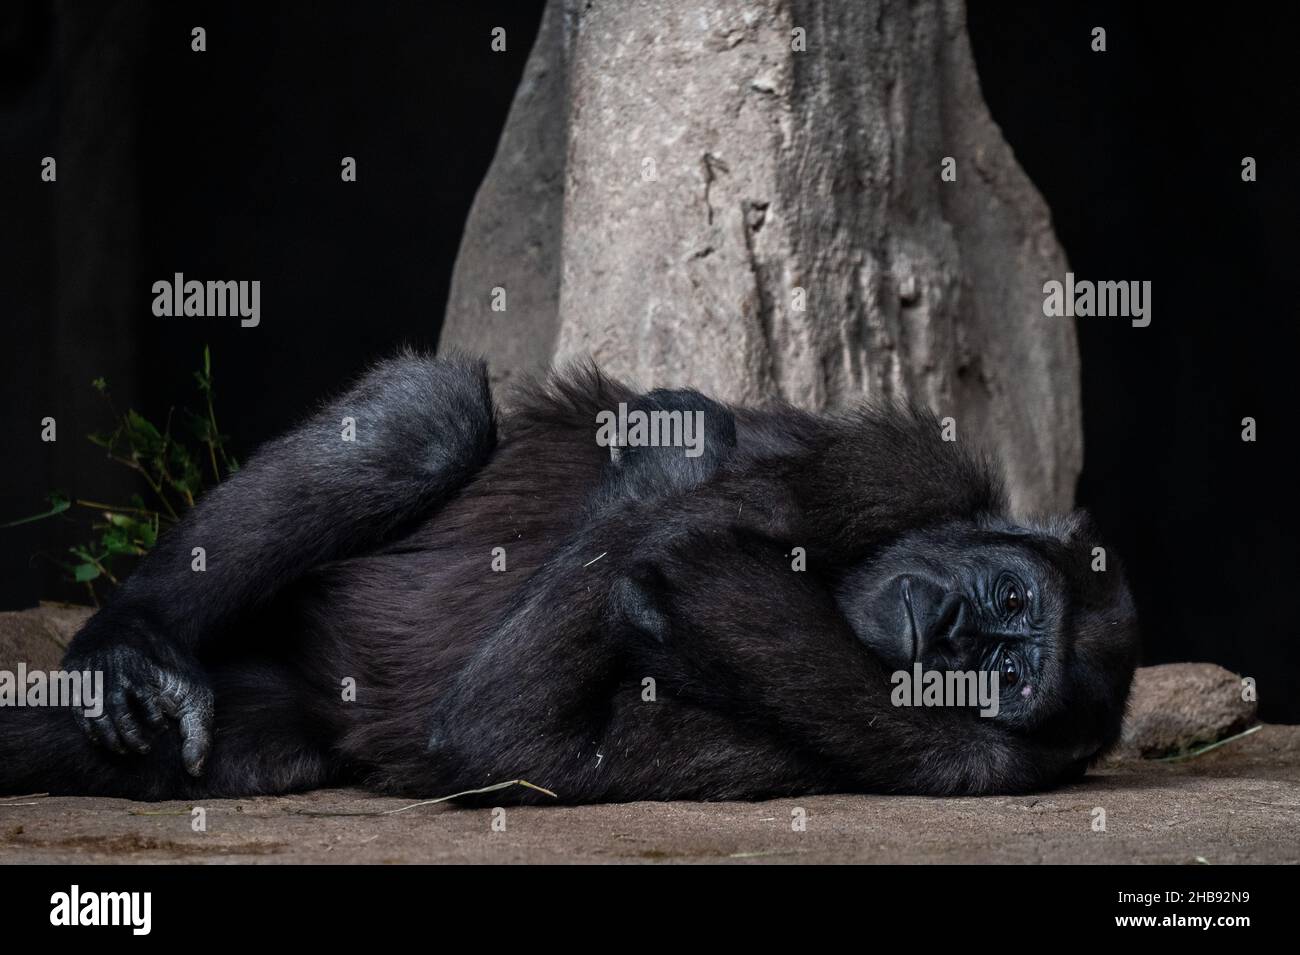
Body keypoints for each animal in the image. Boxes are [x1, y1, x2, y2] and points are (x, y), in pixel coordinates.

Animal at [0, 352, 1139, 803]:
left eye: (1006, 679)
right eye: (1007, 600)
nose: (956, 636)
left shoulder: (956, 761)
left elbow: (520, 740)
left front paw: (664, 483)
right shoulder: (908, 465)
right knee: (428, 421)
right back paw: (131, 648)